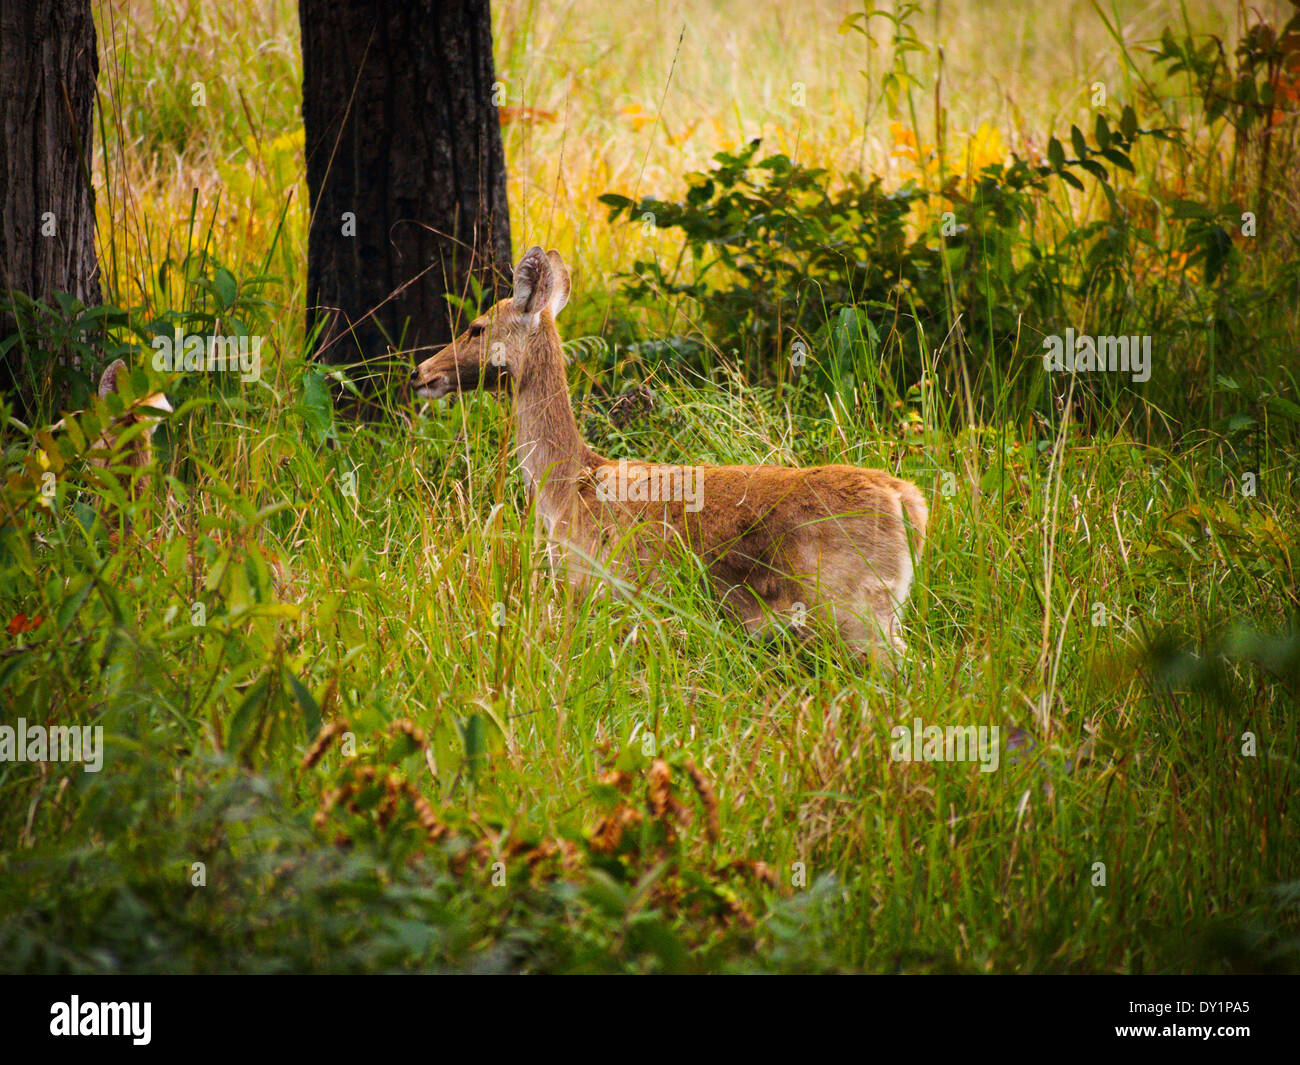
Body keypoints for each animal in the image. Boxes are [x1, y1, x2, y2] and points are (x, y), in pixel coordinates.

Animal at [410, 247, 928, 669]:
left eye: (475, 328)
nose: (419, 373)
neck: (570, 486)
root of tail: (907, 499)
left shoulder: (600, 584)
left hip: (855, 604)